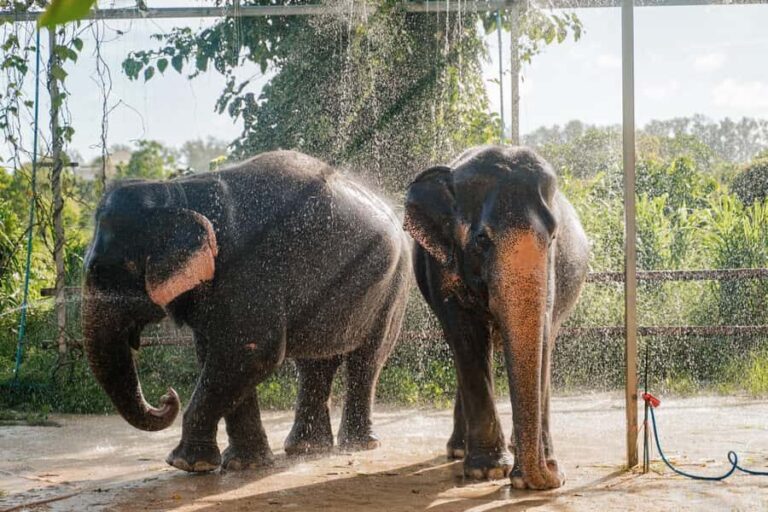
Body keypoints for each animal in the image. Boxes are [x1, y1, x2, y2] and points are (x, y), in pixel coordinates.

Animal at [82, 150, 411, 472]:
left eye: (103, 271)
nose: (167, 396)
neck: (177, 194)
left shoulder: (249, 269)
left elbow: (249, 353)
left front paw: (187, 464)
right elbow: (219, 355)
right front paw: (243, 463)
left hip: (395, 286)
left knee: (367, 360)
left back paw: (358, 445)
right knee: (315, 363)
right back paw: (306, 448)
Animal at [403, 145, 589, 490]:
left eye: (554, 237)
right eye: (481, 240)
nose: (555, 475)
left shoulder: (552, 271)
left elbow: (543, 336)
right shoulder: (443, 265)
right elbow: (466, 339)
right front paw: (487, 472)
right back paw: (459, 450)